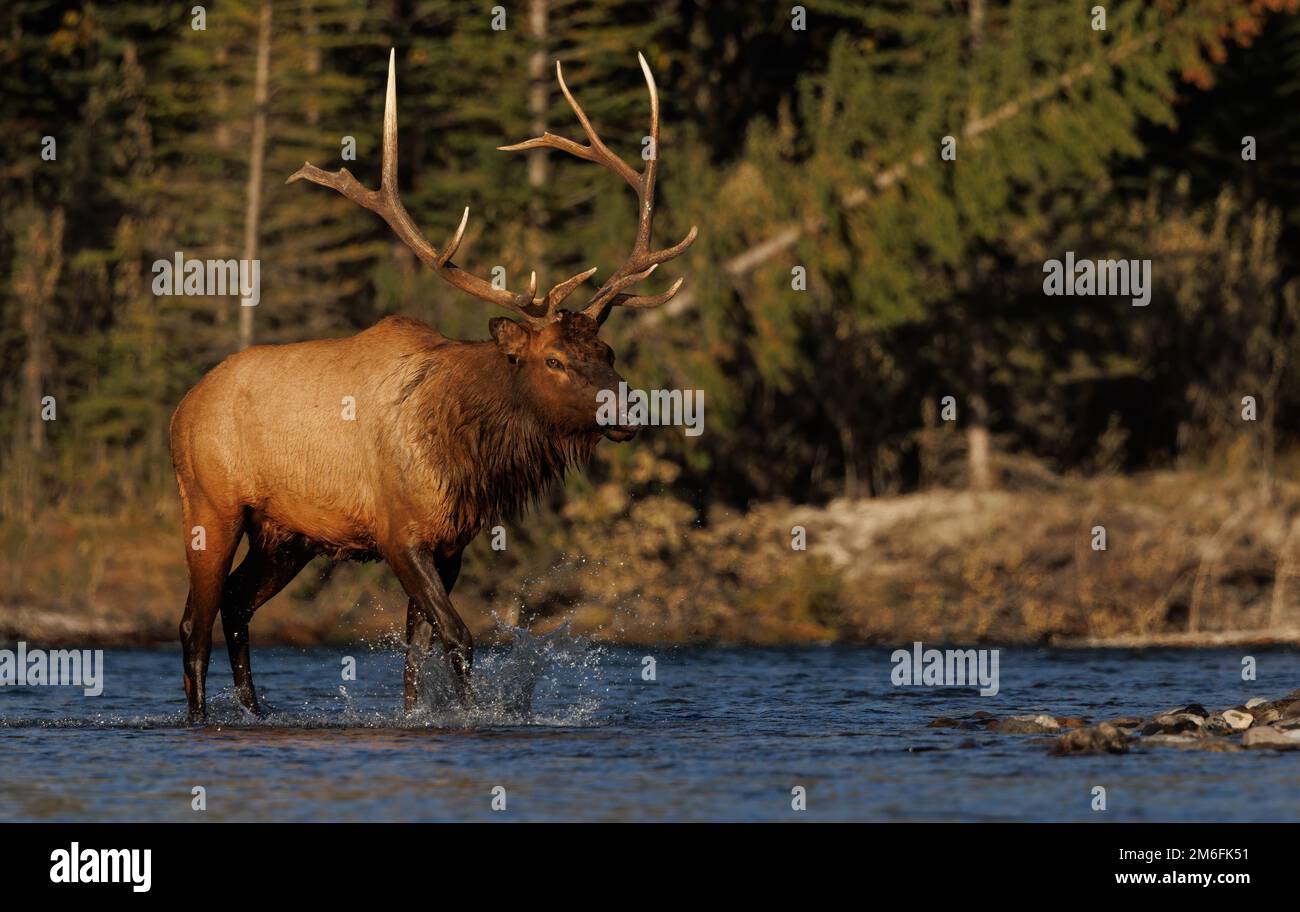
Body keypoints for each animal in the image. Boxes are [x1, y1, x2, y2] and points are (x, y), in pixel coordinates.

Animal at [169, 50, 695, 722]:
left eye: (606, 350)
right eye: (553, 360)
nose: (631, 410)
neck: (465, 448)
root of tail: (180, 409)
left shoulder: (452, 544)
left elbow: (417, 650)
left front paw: (419, 713)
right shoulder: (400, 533)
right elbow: (459, 637)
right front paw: (471, 714)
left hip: (286, 533)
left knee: (236, 606)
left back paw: (258, 715)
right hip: (211, 502)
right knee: (194, 620)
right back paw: (201, 718)